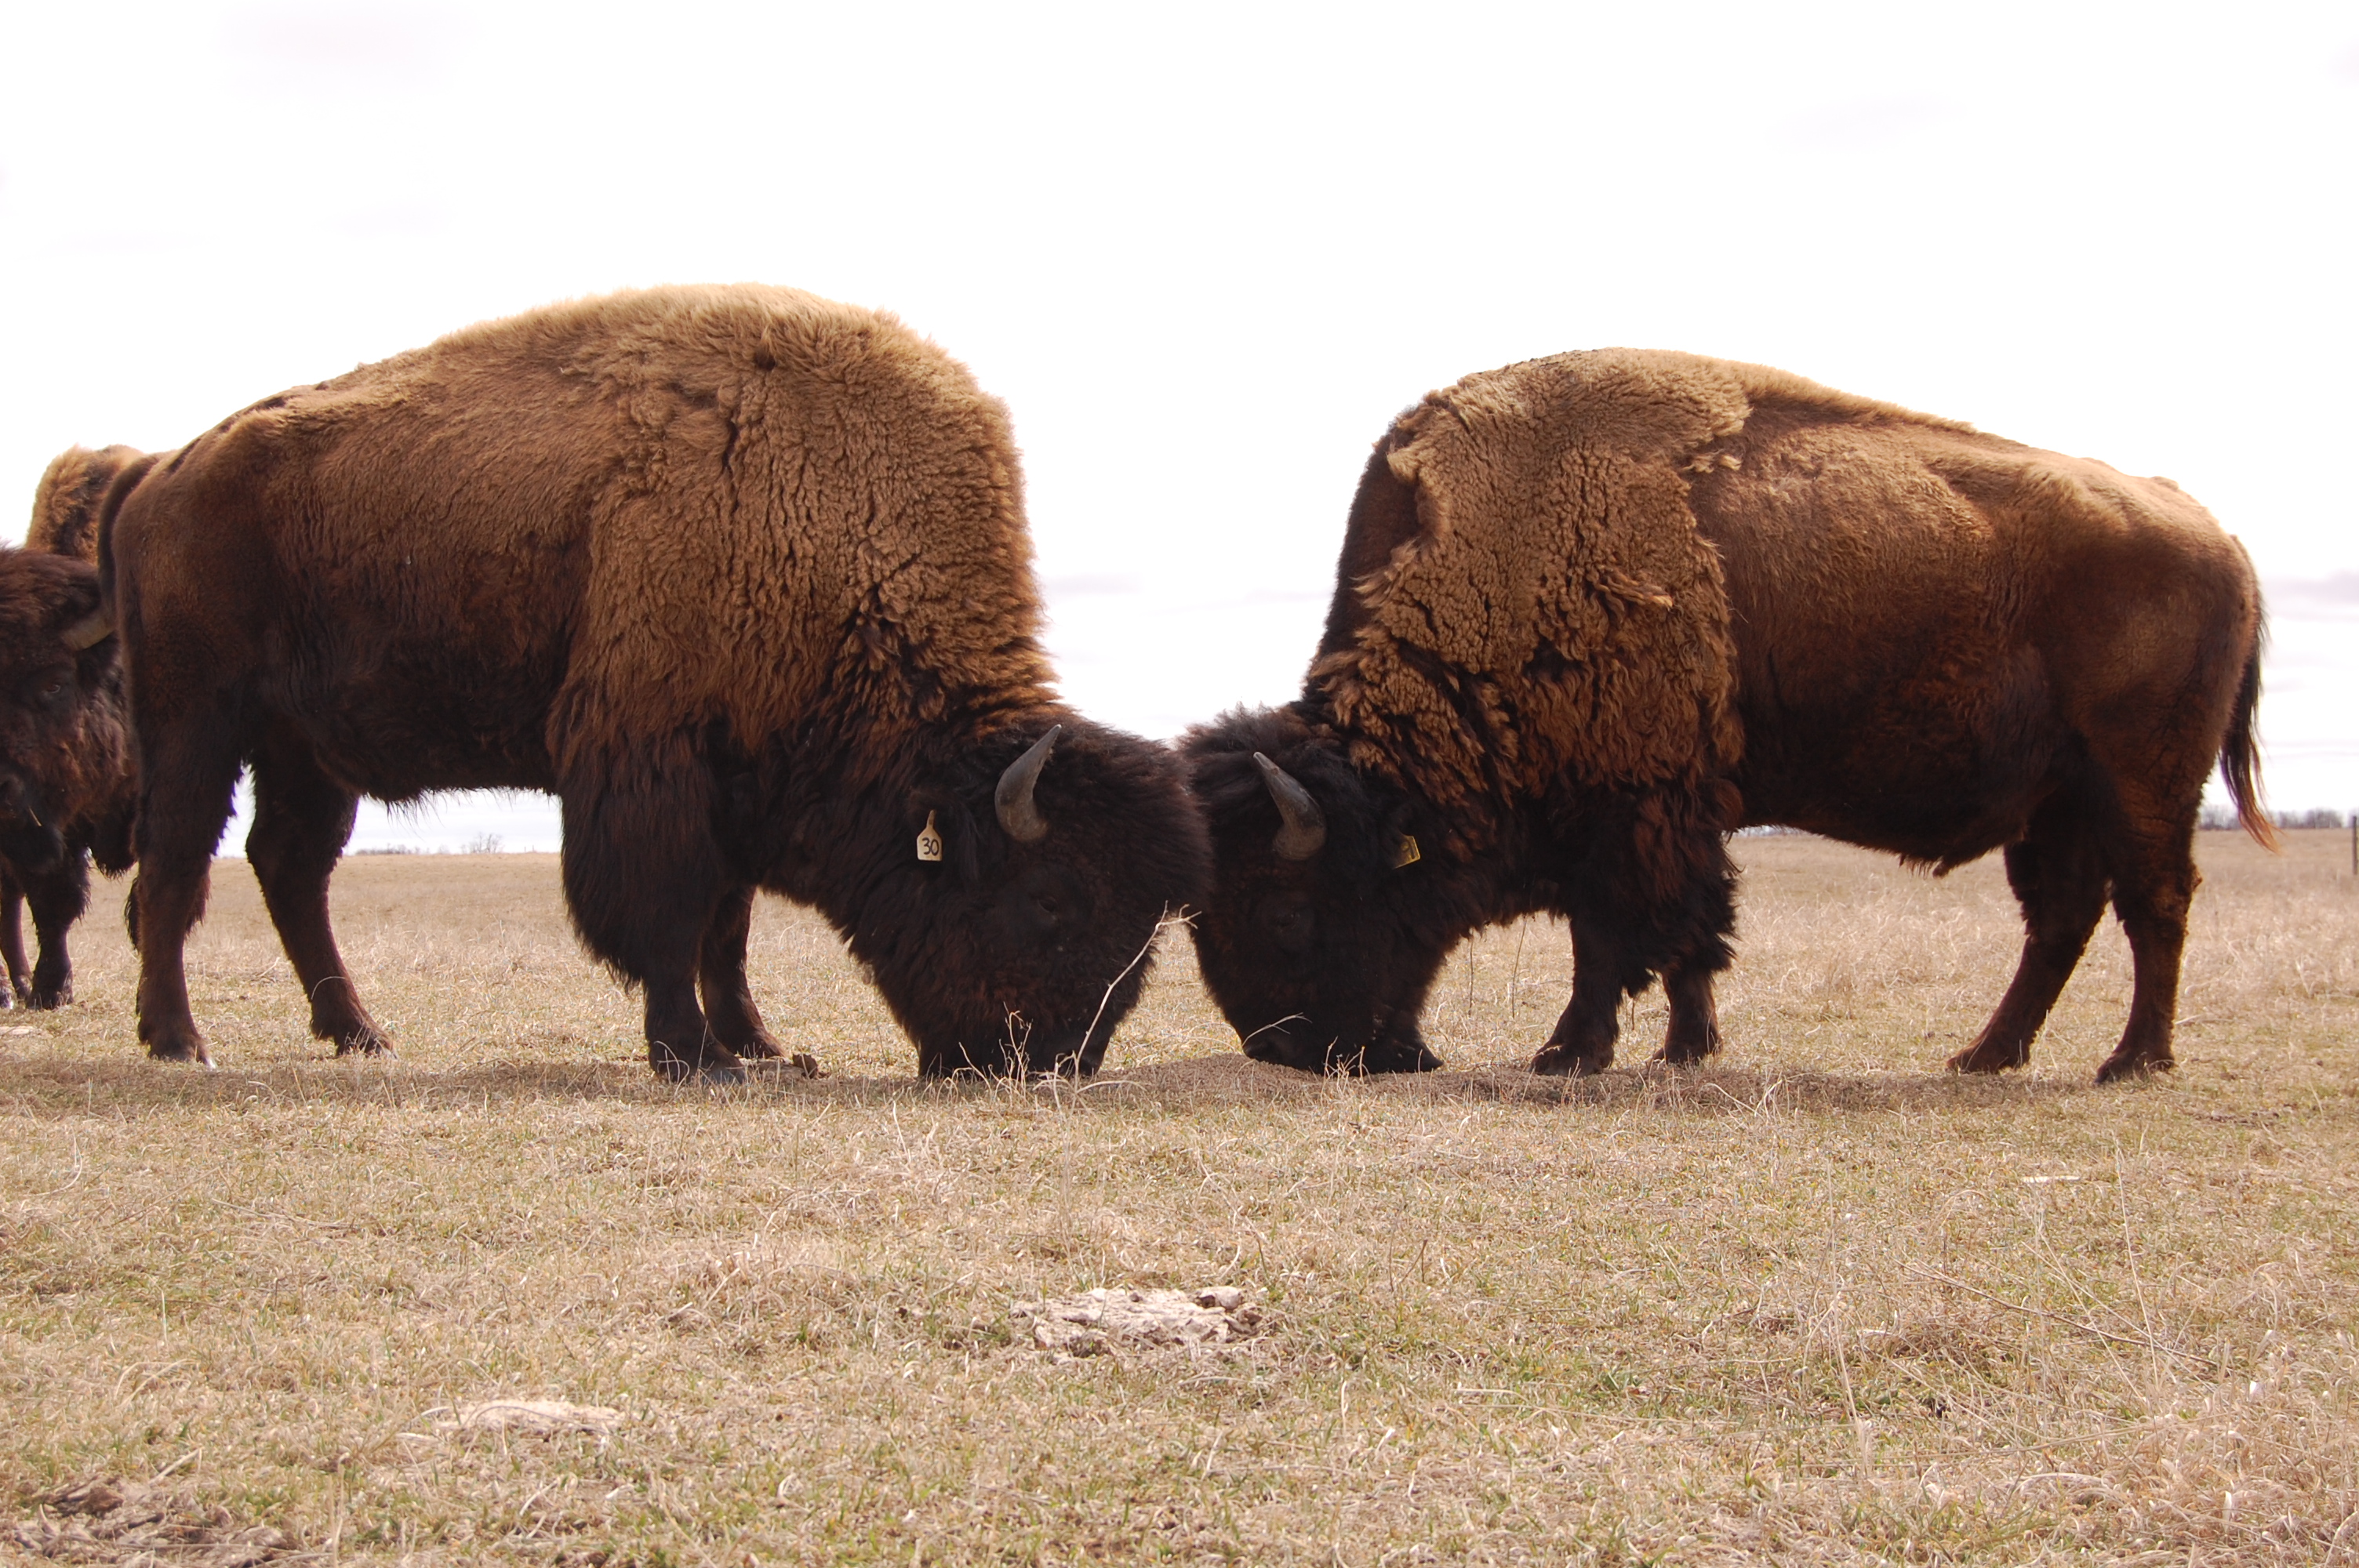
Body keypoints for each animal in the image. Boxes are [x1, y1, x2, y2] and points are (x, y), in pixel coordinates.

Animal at [90, 285, 1208, 1079]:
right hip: (196, 721)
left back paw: (360, 1032)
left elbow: (729, 926)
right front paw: (698, 1057)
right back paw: (181, 1040)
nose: (1052, 1059)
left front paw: (764, 1046)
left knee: (290, 867)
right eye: (1052, 898)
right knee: (177, 865)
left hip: (307, 749)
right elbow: (670, 914)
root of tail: (161, 471)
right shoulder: (651, 758)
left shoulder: (742, 771)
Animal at [1183, 350, 2270, 1084]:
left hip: (2141, 782)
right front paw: (1679, 1048)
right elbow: (1682, 938)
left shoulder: (1628, 803)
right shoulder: (1660, 809)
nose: (1284, 1049)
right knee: (2061, 919)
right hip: (2055, 801)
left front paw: (1567, 1053)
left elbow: (1621, 935)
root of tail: (2214, 533)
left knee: (2154, 905)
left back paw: (2131, 1061)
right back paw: (1984, 1054)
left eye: (1284, 909)